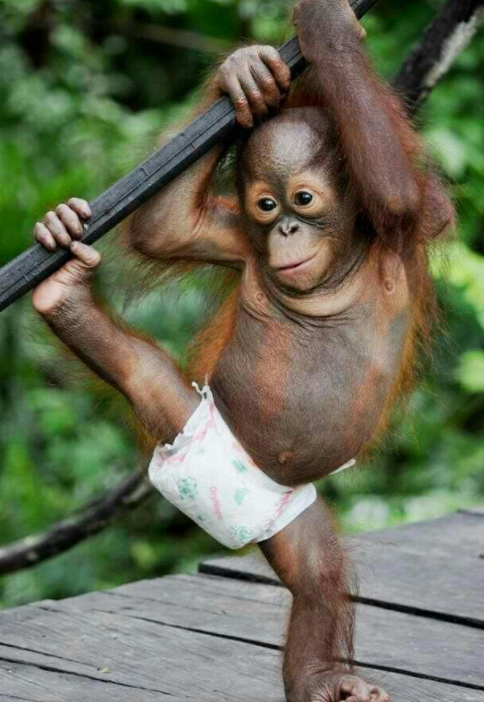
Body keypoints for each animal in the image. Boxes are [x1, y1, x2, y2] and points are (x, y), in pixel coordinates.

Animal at [31, 1, 454, 700]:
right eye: (264, 204)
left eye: (303, 199)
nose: (283, 230)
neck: (339, 265)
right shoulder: (235, 238)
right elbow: (167, 229)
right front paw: (246, 73)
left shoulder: (401, 228)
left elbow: (395, 191)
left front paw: (323, 30)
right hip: (194, 424)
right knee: (143, 372)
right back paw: (62, 292)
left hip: (286, 511)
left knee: (317, 573)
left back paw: (321, 680)